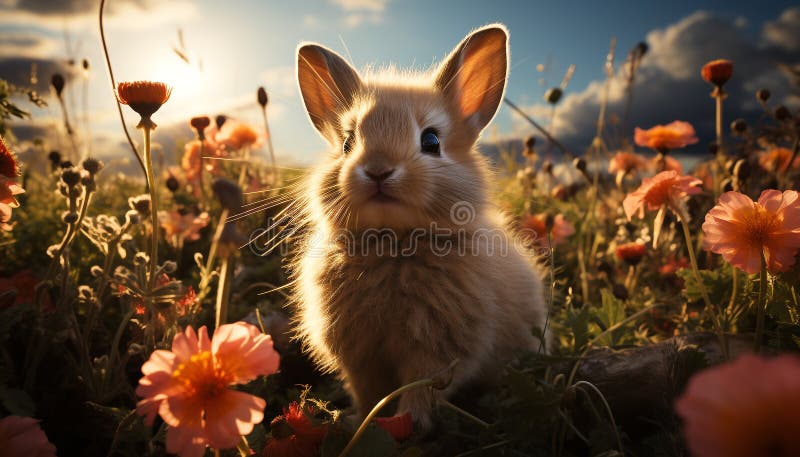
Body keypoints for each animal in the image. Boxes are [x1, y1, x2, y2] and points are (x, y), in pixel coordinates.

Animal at [290, 24, 549, 431]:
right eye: (347, 143)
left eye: (431, 141)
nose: (378, 170)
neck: (394, 241)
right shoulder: (361, 358)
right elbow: (368, 393)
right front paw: (359, 421)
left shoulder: (438, 351)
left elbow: (422, 388)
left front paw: (408, 422)